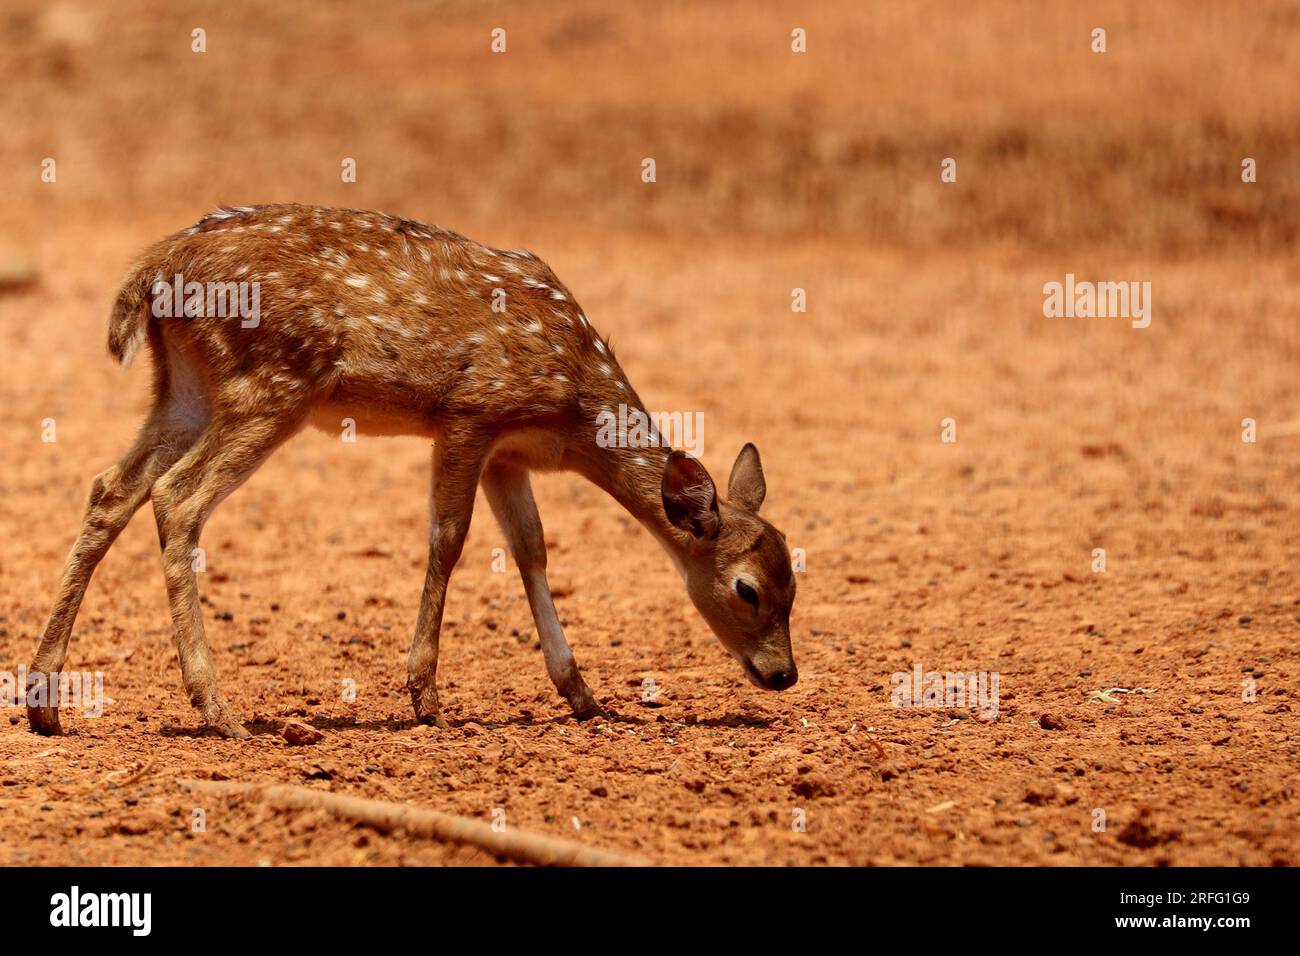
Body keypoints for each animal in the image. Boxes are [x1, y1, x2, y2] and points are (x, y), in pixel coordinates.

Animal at [26, 203, 798, 738]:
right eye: (749, 589)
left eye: (797, 583)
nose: (784, 674)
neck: (575, 410)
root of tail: (151, 272)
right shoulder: (469, 412)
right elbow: (448, 540)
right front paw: (425, 695)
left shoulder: (509, 453)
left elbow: (531, 549)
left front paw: (581, 694)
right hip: (271, 385)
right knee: (176, 497)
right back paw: (217, 708)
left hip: (185, 388)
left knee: (110, 488)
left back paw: (44, 701)